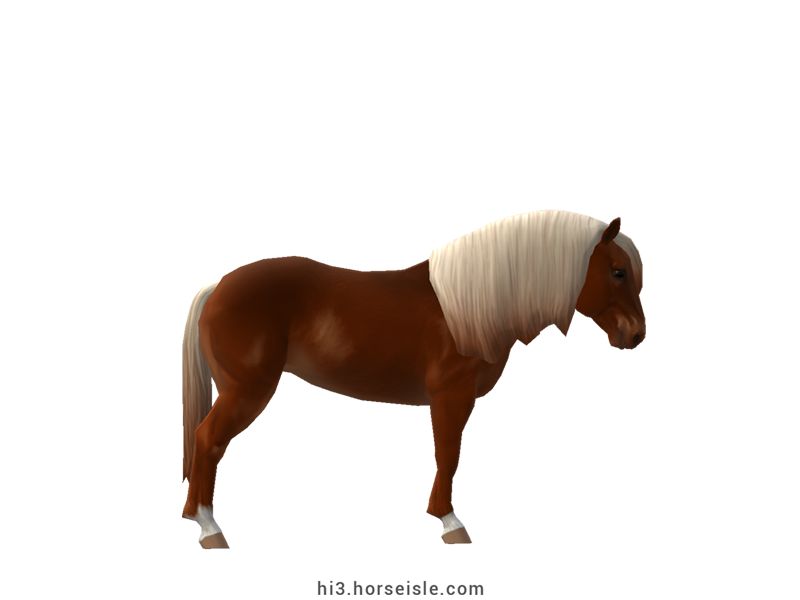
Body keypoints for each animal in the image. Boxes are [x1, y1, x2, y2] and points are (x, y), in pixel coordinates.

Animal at [182, 211, 645, 542]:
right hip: (246, 390)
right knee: (207, 438)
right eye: (618, 270)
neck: (469, 306)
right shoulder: (451, 392)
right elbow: (449, 452)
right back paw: (208, 525)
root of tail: (217, 289)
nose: (636, 335)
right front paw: (451, 521)